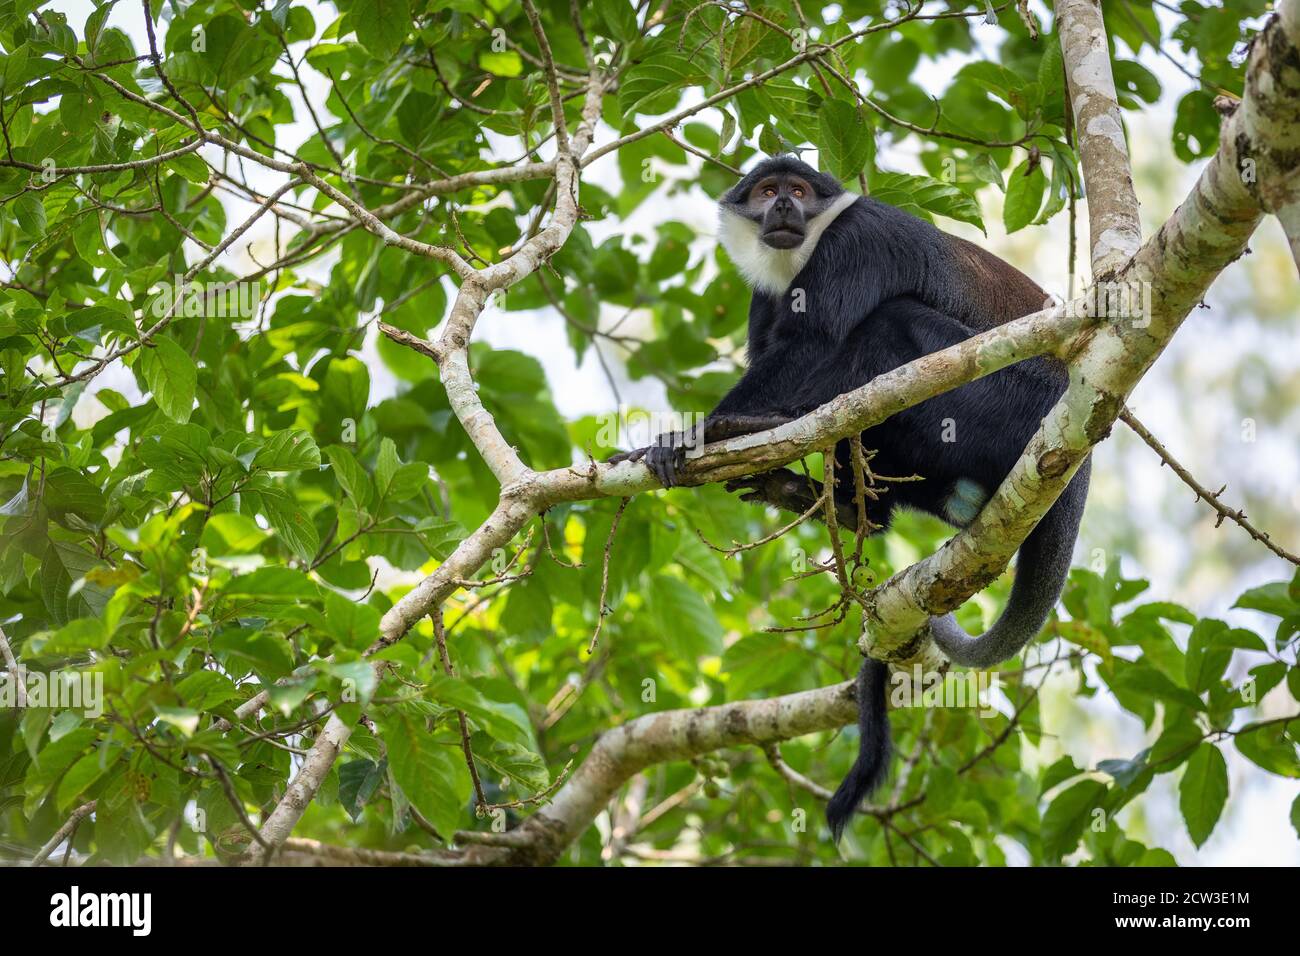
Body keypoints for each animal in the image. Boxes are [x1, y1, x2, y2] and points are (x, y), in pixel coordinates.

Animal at [611, 155, 1090, 841]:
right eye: (765, 192)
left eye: (799, 190)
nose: (784, 206)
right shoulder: (762, 295)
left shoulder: (855, 241)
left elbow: (811, 344)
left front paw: (697, 434)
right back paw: (833, 499)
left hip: (1008, 404)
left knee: (891, 324)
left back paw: (762, 432)